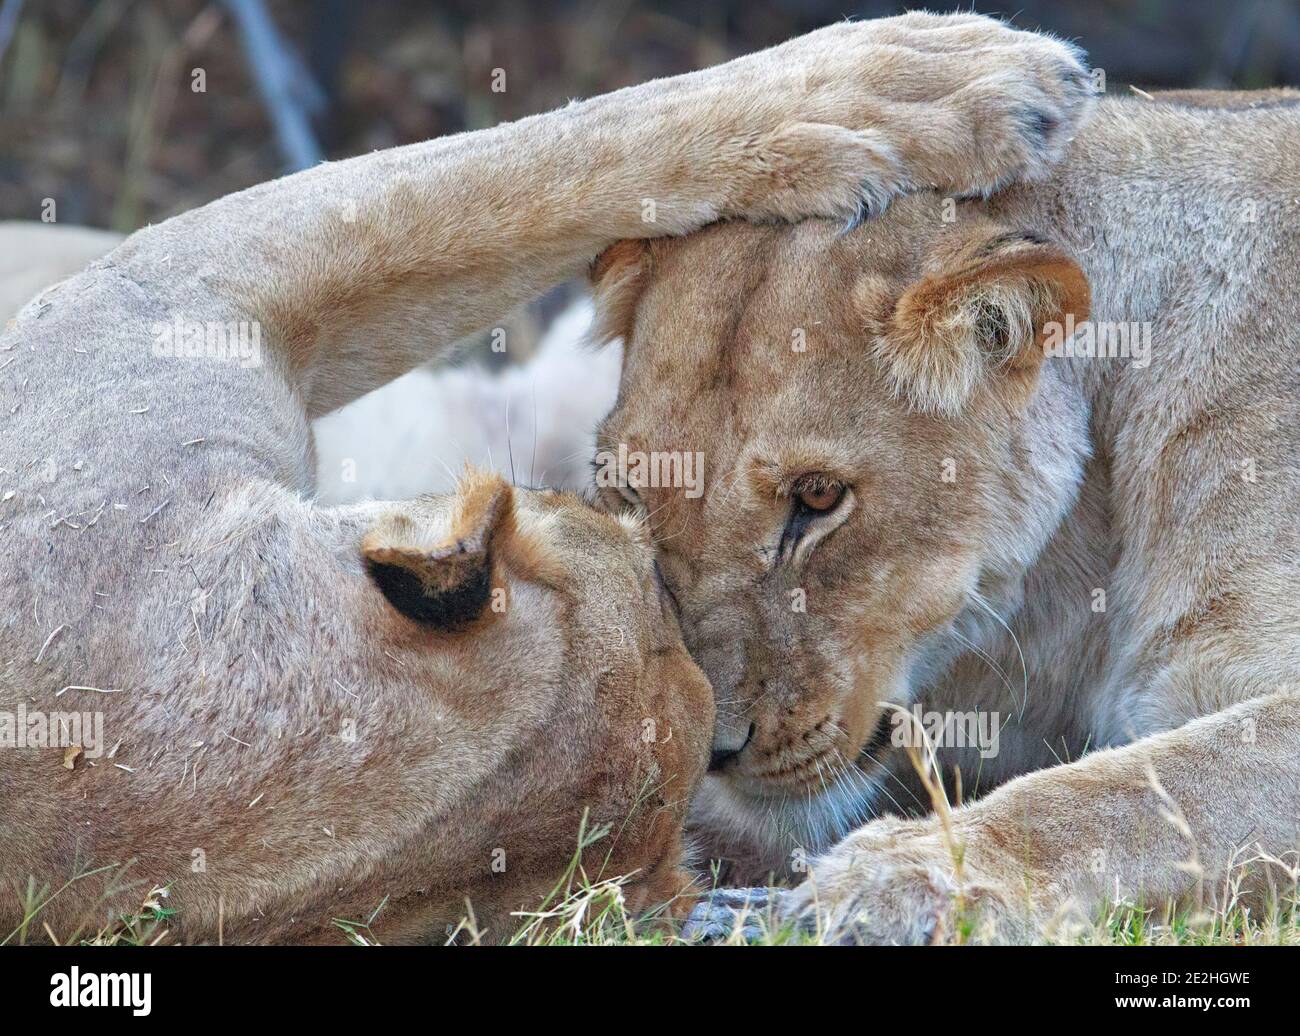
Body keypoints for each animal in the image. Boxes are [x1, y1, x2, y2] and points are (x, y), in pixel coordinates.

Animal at [0, 13, 1092, 942]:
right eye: (659, 605)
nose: (740, 740)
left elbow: (477, 188)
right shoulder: (162, 291)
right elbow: (533, 163)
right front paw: (942, 80)